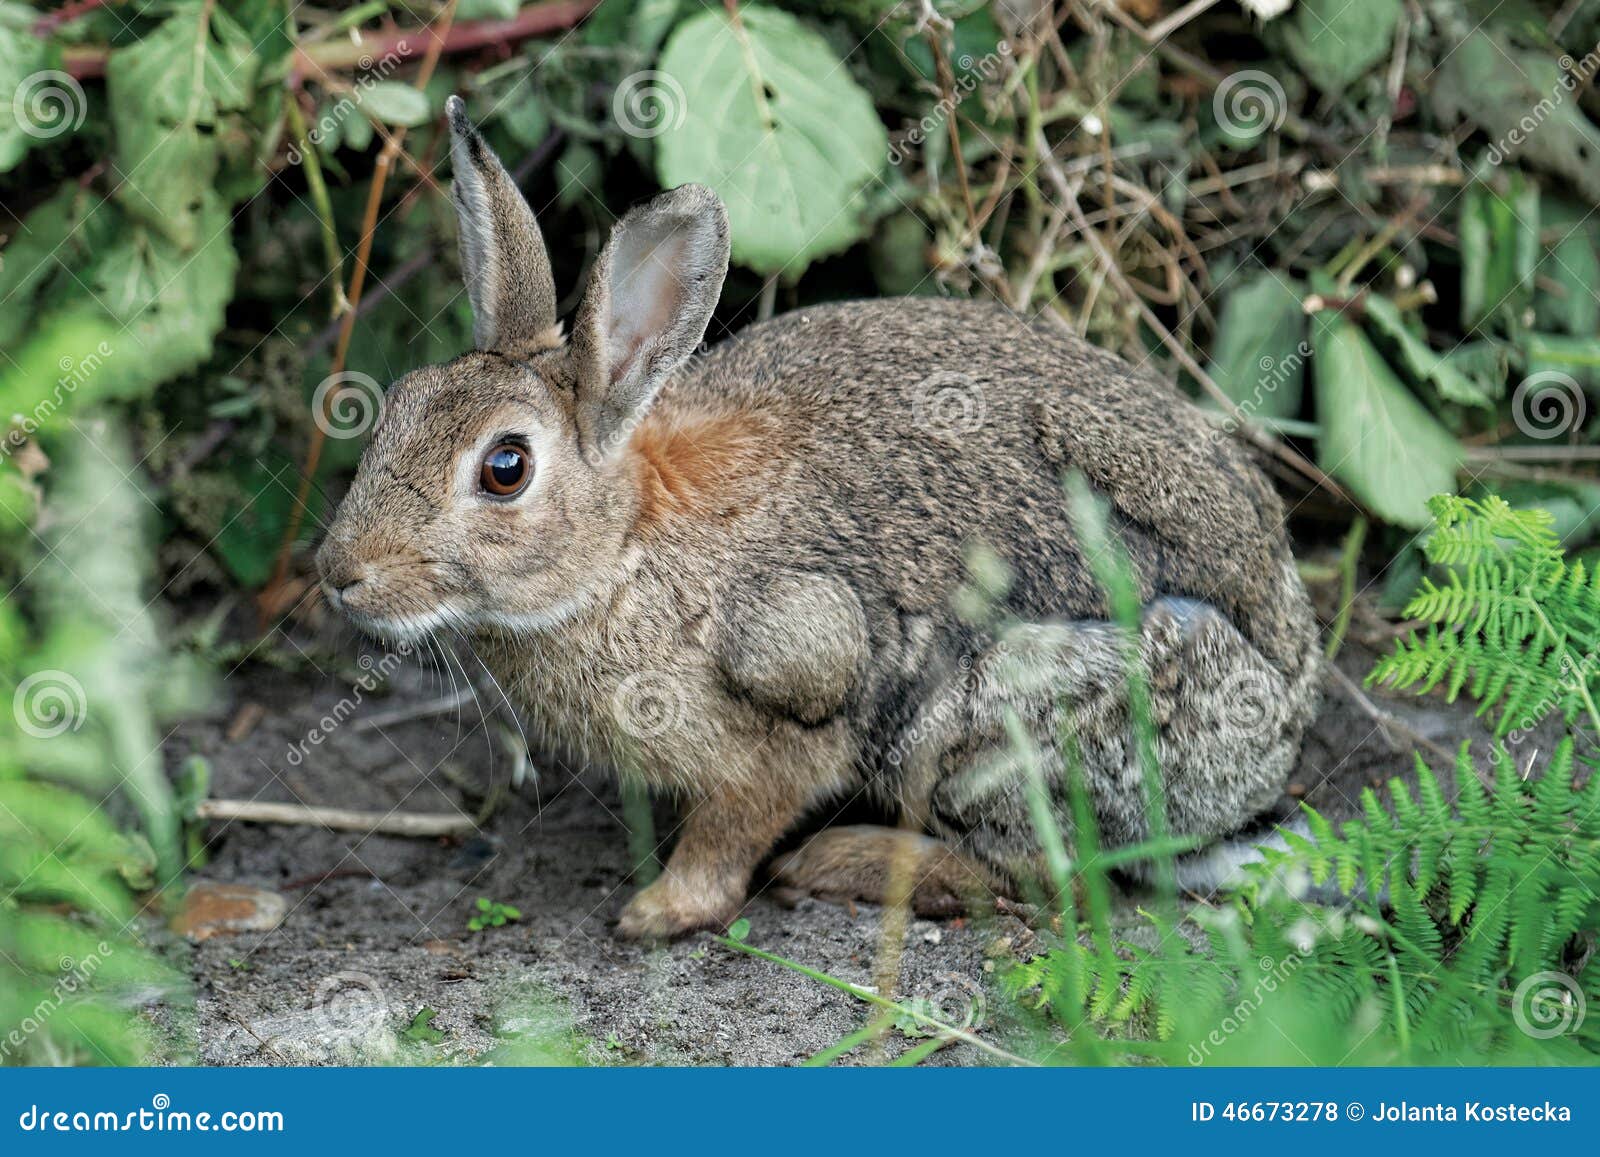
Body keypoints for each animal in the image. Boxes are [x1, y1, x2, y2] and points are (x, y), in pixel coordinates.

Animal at [316, 96, 1322, 940]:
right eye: (397, 404)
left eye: (506, 468)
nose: (341, 573)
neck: (625, 545)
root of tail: (1275, 740)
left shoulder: (786, 713)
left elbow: (732, 831)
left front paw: (657, 911)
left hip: (1001, 716)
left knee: (1056, 879)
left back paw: (847, 861)